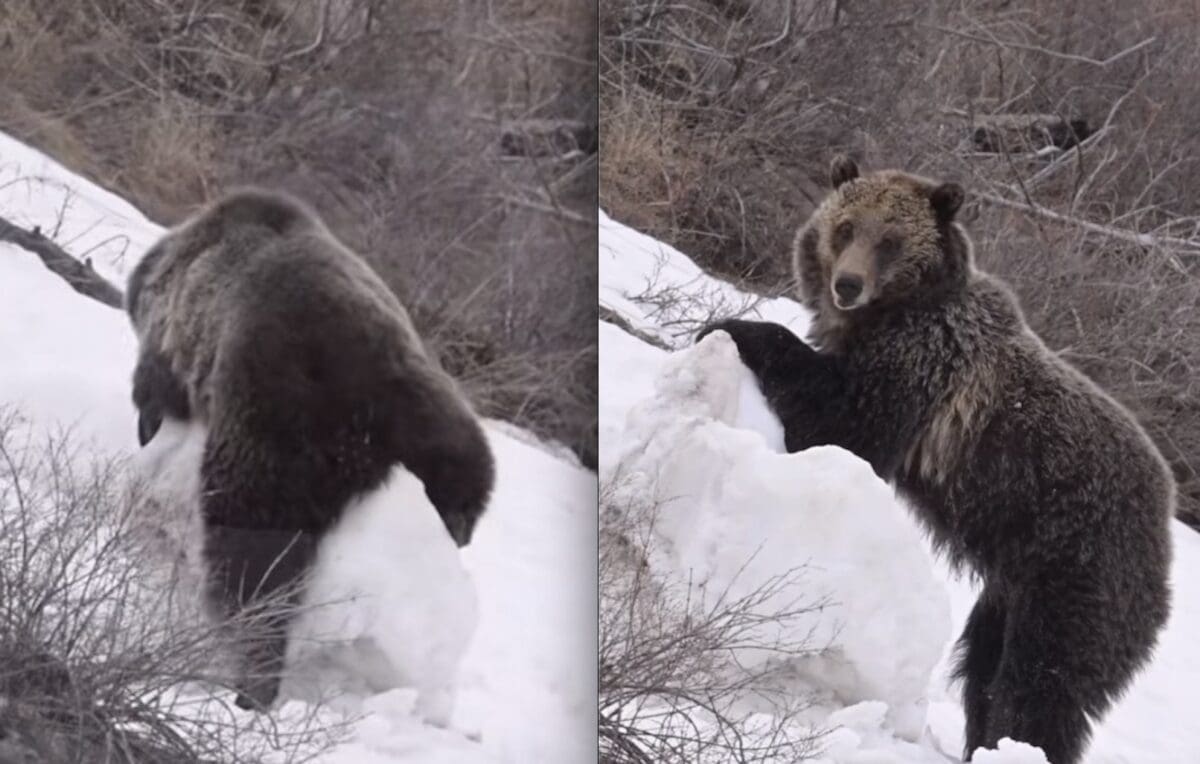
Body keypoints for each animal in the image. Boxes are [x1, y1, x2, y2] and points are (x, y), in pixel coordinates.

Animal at [125, 188, 494, 710]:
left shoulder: (177, 343)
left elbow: (154, 392)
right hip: (452, 440)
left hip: (282, 436)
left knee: (251, 556)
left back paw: (251, 680)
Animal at [699, 156, 1174, 764]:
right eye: (846, 227)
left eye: (890, 240)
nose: (847, 284)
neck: (889, 314)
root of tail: (1165, 524)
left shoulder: (924, 365)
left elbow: (845, 425)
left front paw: (732, 326)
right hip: (1009, 586)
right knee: (983, 666)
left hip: (1079, 568)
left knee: (1043, 679)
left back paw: (1018, 742)